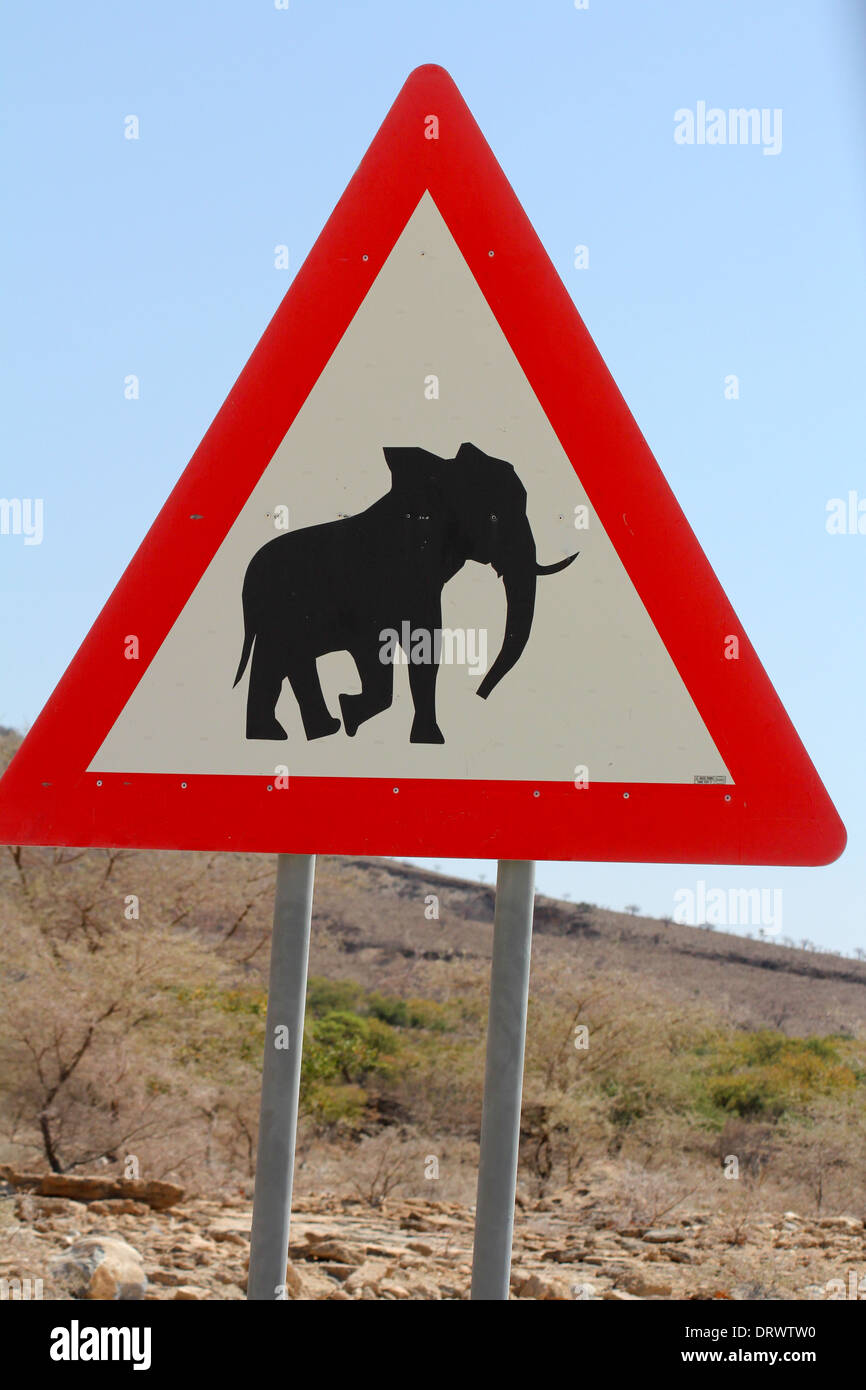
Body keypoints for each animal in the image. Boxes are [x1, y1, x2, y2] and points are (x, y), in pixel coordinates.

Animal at [233, 442, 577, 744]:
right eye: (493, 516)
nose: (480, 694)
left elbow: (425, 644)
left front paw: (426, 740)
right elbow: (381, 648)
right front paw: (350, 712)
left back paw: (284, 734)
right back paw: (313, 731)